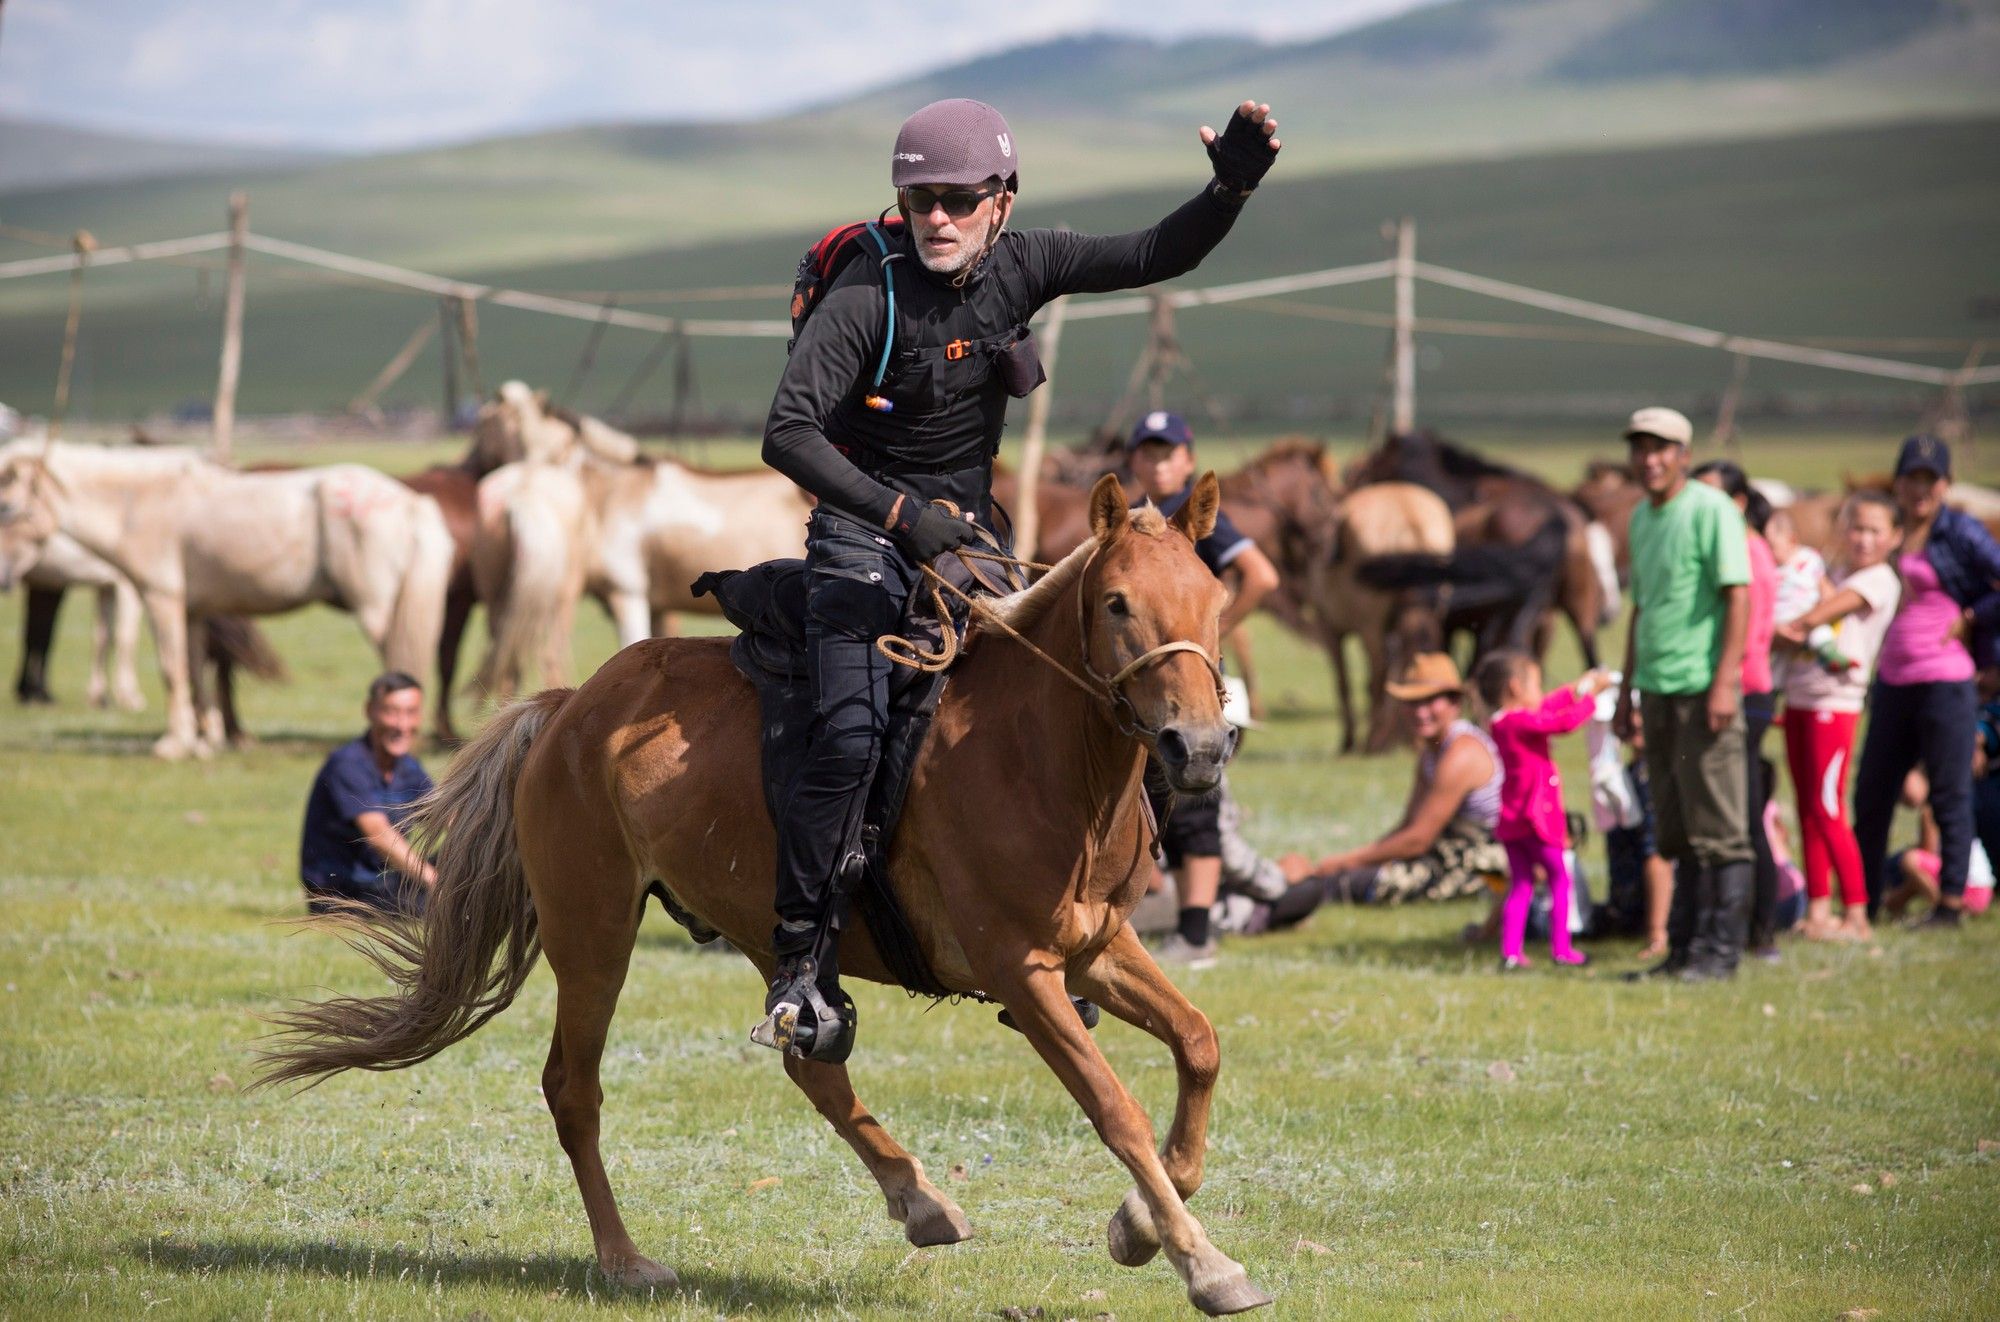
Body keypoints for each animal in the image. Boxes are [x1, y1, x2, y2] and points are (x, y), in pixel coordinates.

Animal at [0, 441, 454, 759]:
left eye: (7, 507)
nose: (4, 578)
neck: (139, 504)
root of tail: (414, 503)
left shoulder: (160, 597)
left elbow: (172, 670)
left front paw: (174, 744)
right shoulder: (193, 611)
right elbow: (195, 672)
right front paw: (204, 741)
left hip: (378, 612)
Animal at [258, 475, 1274, 1316]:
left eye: (1215, 601)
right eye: (1116, 603)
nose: (1198, 748)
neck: (1037, 754)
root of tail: (571, 706)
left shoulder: (1097, 951)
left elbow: (1200, 1044)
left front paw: (1140, 1223)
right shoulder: (1024, 974)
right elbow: (1116, 1108)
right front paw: (1203, 1262)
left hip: (770, 933)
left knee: (811, 1065)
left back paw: (918, 1200)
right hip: (594, 938)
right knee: (573, 1089)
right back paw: (626, 1260)